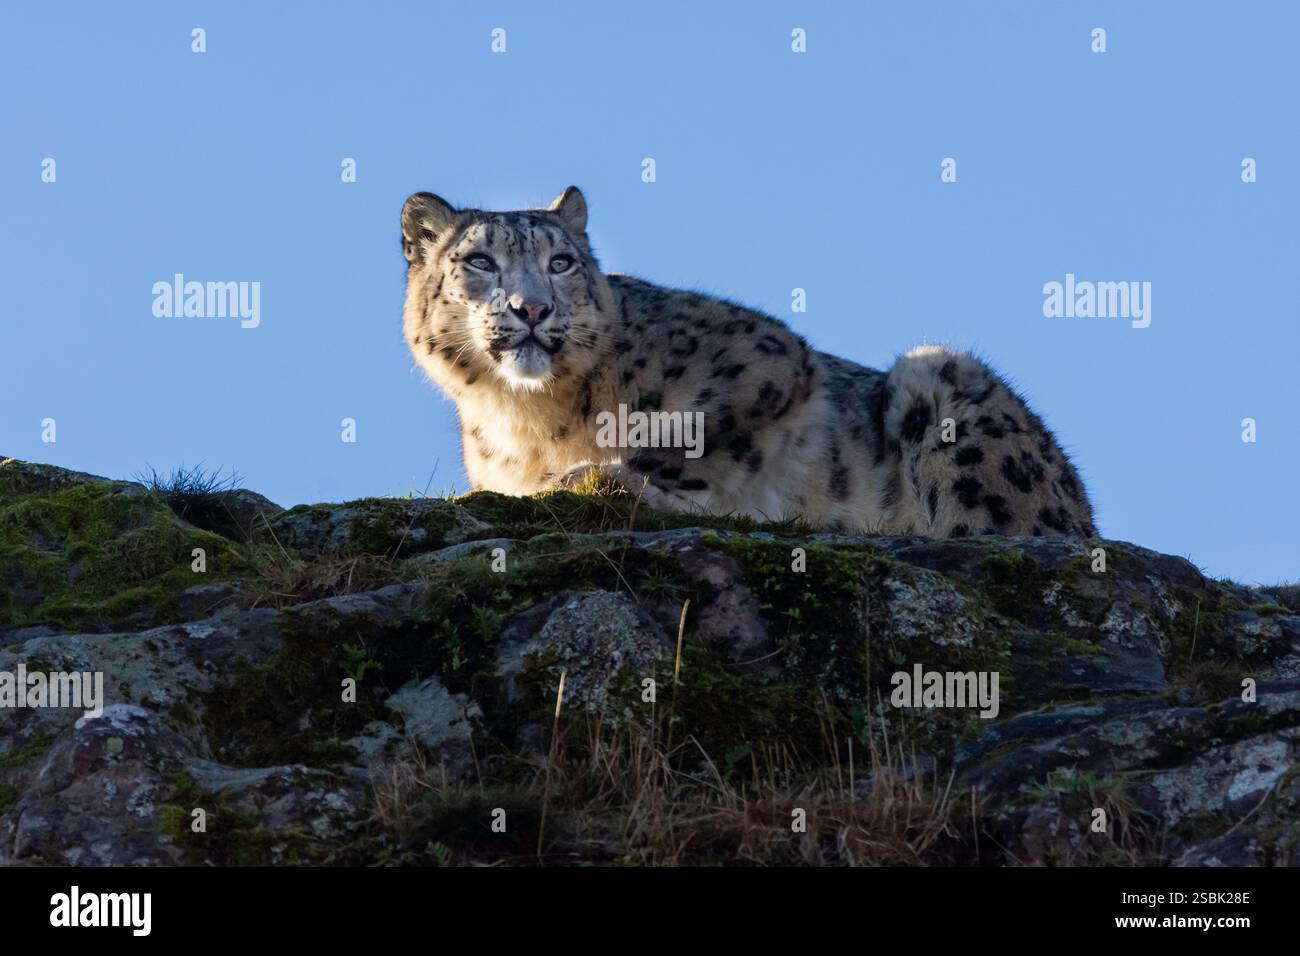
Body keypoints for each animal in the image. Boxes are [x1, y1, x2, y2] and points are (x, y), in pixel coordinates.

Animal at [400, 186, 1096, 538]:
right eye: (480, 260)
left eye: (562, 262)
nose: (533, 309)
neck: (529, 417)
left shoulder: (769, 360)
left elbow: (689, 440)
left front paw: (601, 477)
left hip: (946, 387)